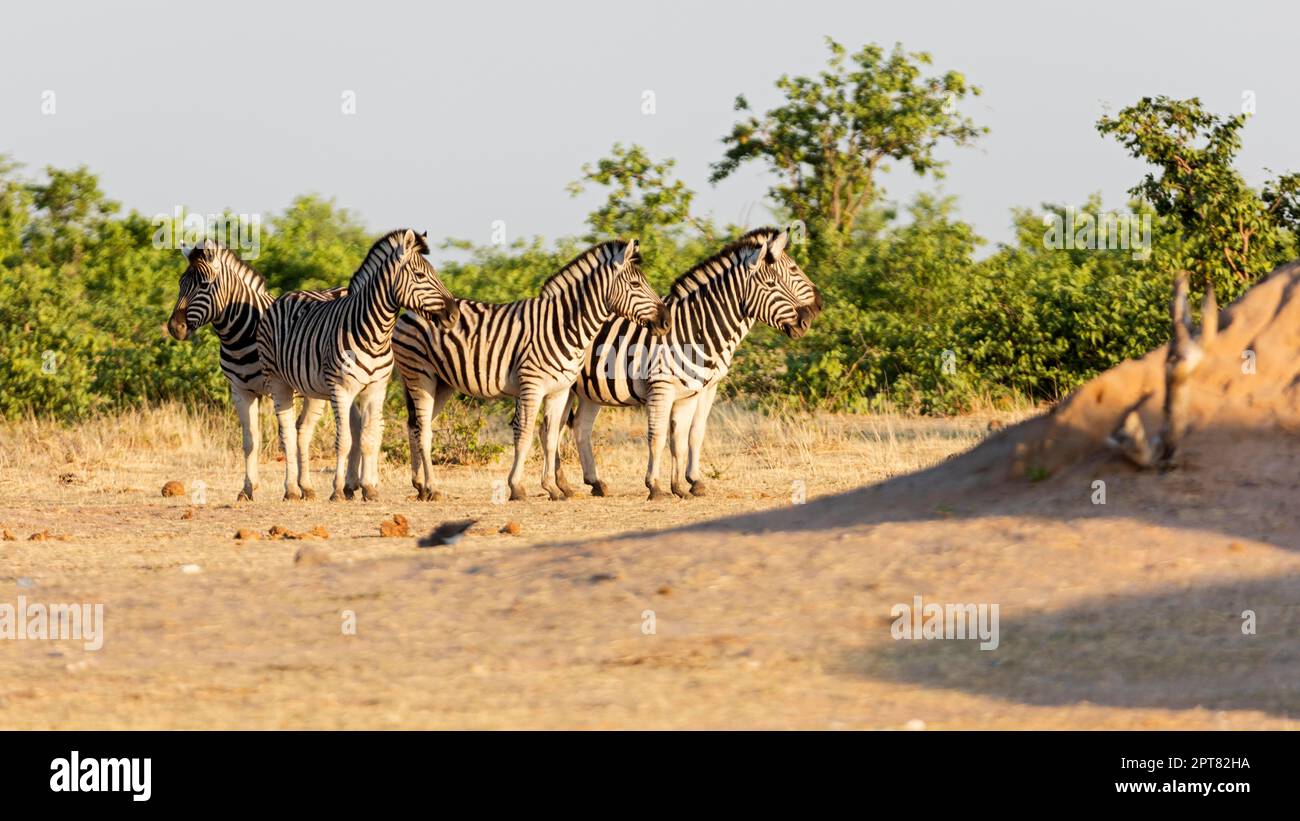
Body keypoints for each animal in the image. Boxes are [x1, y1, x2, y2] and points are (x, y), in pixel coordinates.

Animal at [166, 240, 348, 501]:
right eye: (181, 283)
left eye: (204, 285)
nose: (175, 328)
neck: (242, 335)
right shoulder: (241, 390)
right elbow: (251, 441)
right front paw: (247, 489)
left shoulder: (281, 388)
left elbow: (285, 437)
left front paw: (289, 489)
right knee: (303, 431)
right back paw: (308, 486)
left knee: (305, 431)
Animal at [257, 229, 458, 502]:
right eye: (420, 276)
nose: (454, 314)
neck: (376, 334)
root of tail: (288, 294)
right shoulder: (341, 389)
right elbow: (344, 441)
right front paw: (337, 490)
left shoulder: (375, 389)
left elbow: (367, 438)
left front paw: (368, 489)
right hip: (278, 381)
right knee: (287, 433)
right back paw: (291, 490)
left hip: (312, 390)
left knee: (302, 430)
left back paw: (306, 487)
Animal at [394, 238, 669, 502]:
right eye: (635, 284)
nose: (665, 321)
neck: (564, 326)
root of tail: (409, 312)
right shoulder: (531, 387)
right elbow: (525, 435)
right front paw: (517, 487)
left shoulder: (559, 391)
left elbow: (551, 437)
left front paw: (552, 489)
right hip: (420, 375)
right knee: (423, 429)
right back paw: (432, 488)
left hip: (442, 384)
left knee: (416, 426)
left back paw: (421, 487)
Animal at [562, 226, 822, 500]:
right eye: (790, 271)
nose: (812, 312)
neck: (697, 326)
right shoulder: (662, 386)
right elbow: (658, 436)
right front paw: (656, 486)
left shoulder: (704, 388)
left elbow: (691, 434)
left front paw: (690, 483)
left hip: (589, 391)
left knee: (579, 427)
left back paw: (593, 483)